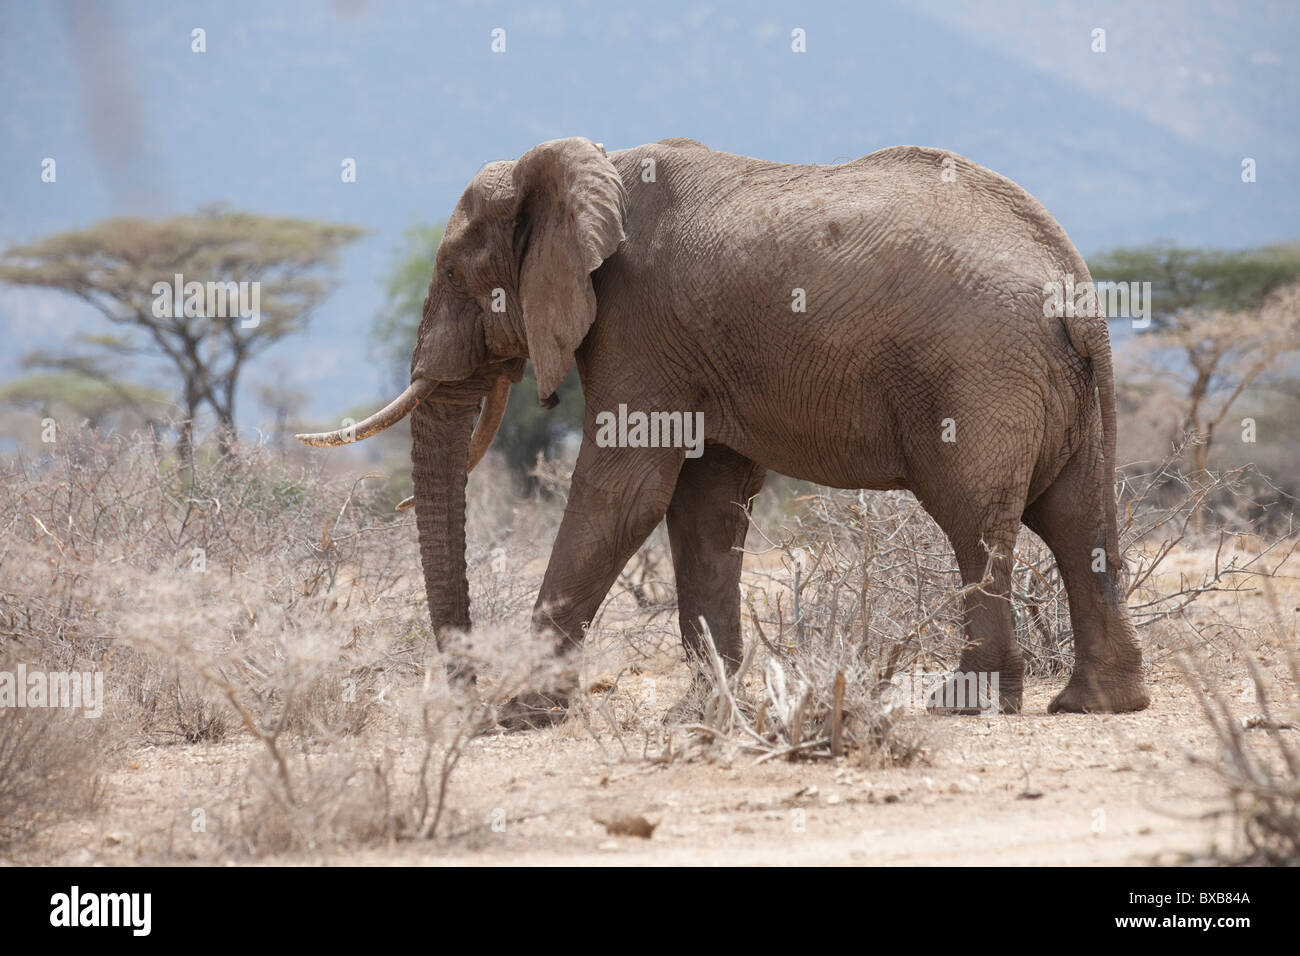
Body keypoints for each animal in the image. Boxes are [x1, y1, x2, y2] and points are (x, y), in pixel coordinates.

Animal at [297, 136, 1150, 724]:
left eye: (454, 273)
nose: (466, 691)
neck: (585, 165)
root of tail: (1076, 286)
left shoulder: (637, 324)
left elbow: (625, 495)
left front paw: (517, 715)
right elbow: (703, 509)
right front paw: (701, 715)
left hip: (976, 373)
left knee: (975, 520)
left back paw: (964, 704)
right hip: (1058, 389)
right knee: (1075, 520)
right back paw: (1095, 704)